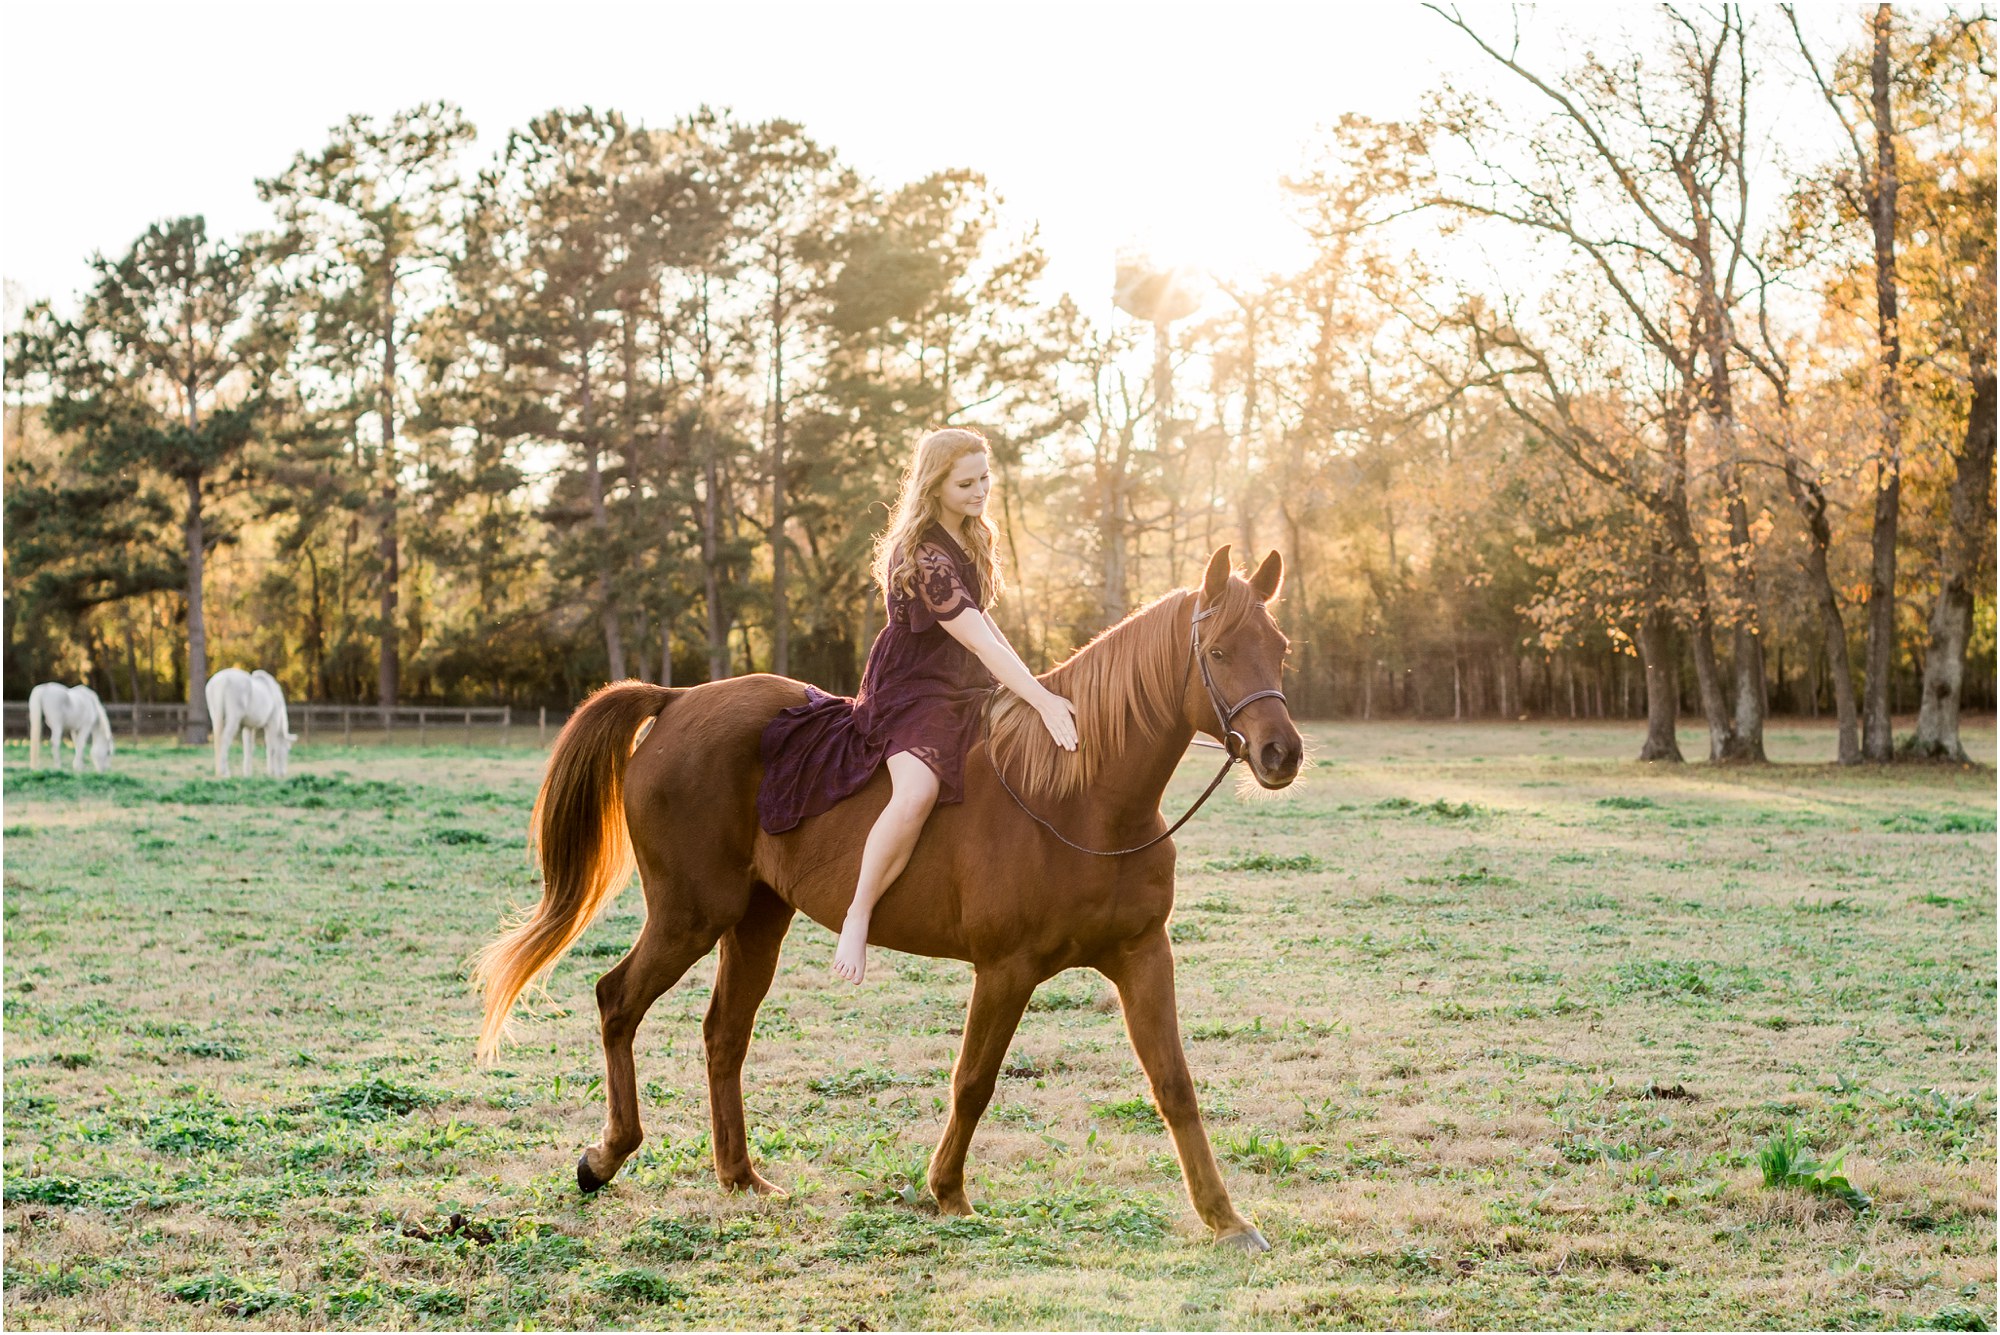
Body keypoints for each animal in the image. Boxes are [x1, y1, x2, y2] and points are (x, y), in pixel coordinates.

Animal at [476, 546, 1303, 1250]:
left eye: (1280, 648)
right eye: (1218, 652)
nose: (1281, 752)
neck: (1080, 797)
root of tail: (677, 700)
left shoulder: (1142, 954)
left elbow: (1175, 1083)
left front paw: (1226, 1217)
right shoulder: (1005, 968)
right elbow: (973, 1081)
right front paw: (948, 1192)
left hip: (755, 922)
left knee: (723, 1035)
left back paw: (741, 1177)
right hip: (689, 916)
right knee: (618, 1000)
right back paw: (606, 1156)